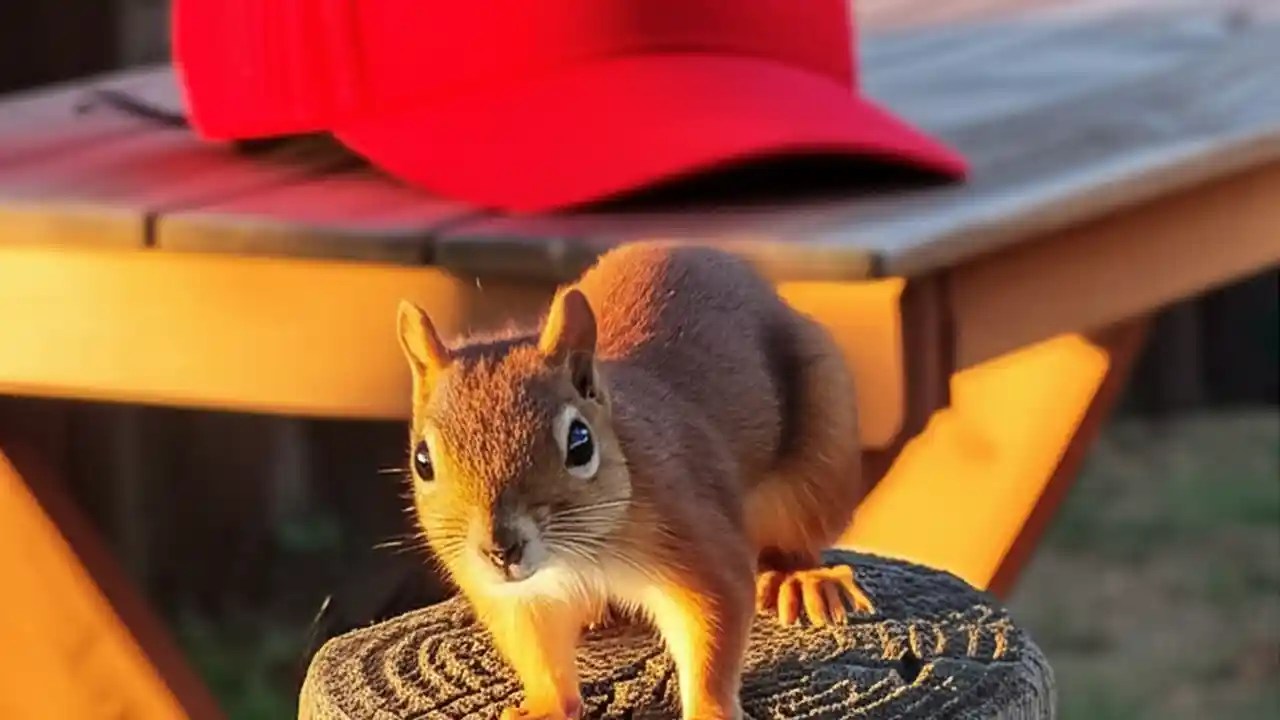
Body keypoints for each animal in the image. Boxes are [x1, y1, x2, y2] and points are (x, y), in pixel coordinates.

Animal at [396, 242, 872, 720]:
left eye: (580, 443)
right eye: (423, 461)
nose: (501, 551)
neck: (580, 552)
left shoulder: (693, 532)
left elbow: (714, 629)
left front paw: (710, 711)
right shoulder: (520, 598)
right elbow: (540, 656)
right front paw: (546, 707)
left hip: (818, 463)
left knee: (795, 538)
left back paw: (800, 579)